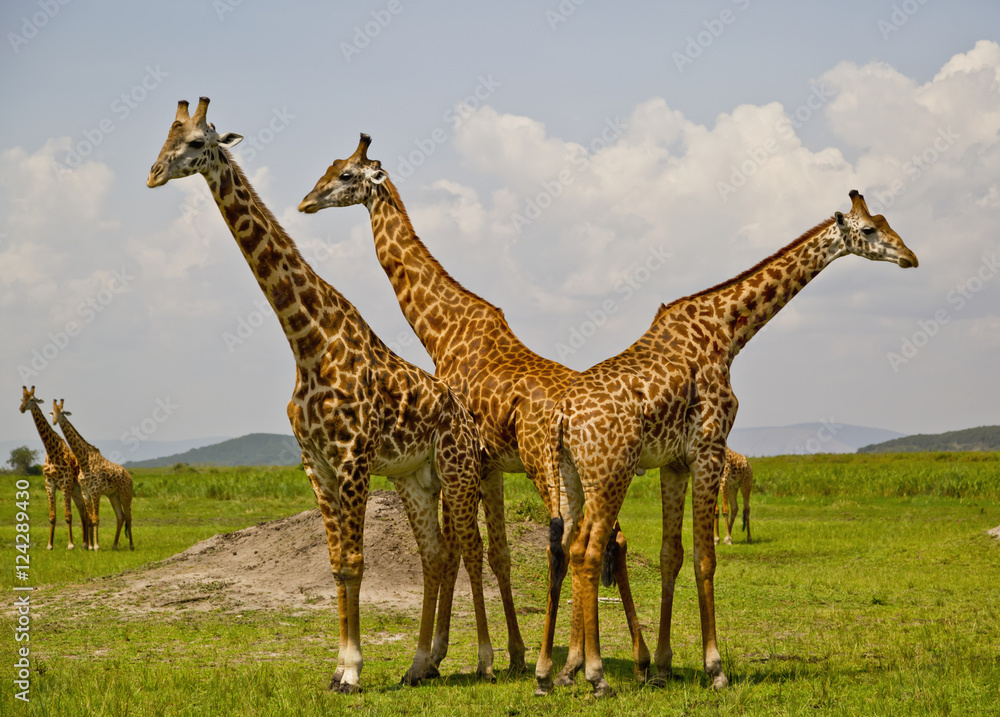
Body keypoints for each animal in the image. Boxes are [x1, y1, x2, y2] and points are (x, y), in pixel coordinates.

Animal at [18, 386, 89, 550]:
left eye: (32, 399)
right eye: (22, 398)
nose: (22, 408)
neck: (52, 451)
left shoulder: (64, 483)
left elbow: (68, 515)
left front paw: (70, 545)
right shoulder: (49, 483)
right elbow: (52, 516)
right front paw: (50, 545)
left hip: (80, 489)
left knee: (86, 512)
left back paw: (86, 543)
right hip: (75, 491)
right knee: (82, 512)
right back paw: (84, 543)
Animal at [51, 399, 134, 551]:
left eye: (61, 412)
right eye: (52, 412)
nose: (54, 421)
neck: (84, 460)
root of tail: (129, 476)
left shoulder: (95, 491)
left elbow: (96, 519)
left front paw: (96, 546)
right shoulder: (86, 492)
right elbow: (90, 519)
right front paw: (90, 546)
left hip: (126, 494)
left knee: (129, 517)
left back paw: (131, 545)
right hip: (113, 495)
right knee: (120, 517)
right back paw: (114, 545)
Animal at [146, 98, 494, 693]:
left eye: (195, 142)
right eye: (165, 137)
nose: (152, 174)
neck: (307, 341)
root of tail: (466, 415)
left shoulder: (352, 457)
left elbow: (354, 560)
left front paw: (352, 671)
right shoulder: (316, 461)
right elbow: (336, 563)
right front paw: (338, 667)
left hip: (457, 469)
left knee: (469, 549)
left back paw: (491, 659)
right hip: (414, 478)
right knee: (435, 554)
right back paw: (420, 663)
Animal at [298, 134, 650, 688]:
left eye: (347, 176)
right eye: (328, 169)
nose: (306, 202)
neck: (442, 329)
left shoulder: (462, 459)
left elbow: (462, 549)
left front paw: (443, 656)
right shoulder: (486, 465)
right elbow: (495, 553)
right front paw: (511, 653)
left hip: (548, 469)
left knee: (571, 544)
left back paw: (575, 663)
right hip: (591, 476)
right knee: (611, 540)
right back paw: (634, 659)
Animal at [543, 190, 918, 695]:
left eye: (886, 221)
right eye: (871, 230)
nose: (910, 256)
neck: (728, 331)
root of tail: (562, 417)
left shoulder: (674, 462)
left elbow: (671, 555)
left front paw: (662, 666)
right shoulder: (709, 447)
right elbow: (706, 557)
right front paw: (714, 667)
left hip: (570, 476)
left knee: (566, 549)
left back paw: (557, 671)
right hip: (610, 472)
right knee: (588, 551)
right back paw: (597, 675)